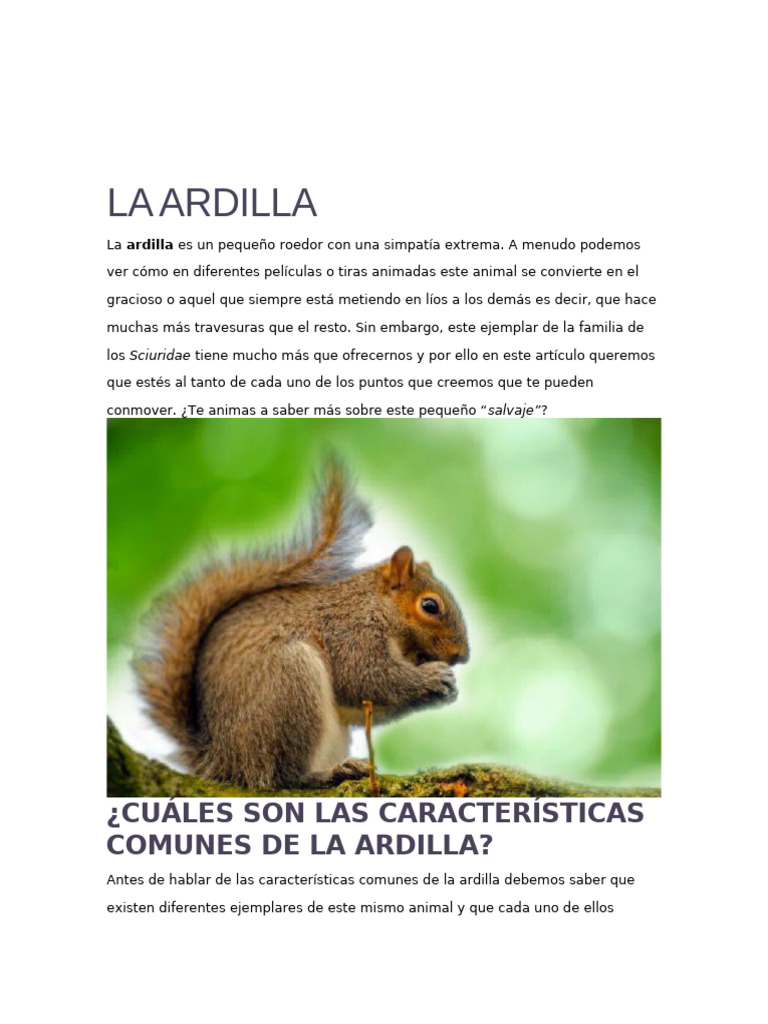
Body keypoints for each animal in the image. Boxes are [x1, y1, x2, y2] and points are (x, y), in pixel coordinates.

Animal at [135, 462, 469, 790]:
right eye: (430, 606)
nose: (461, 656)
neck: (375, 606)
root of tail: (221, 760)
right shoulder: (350, 632)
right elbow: (366, 678)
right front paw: (434, 678)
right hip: (290, 686)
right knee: (282, 775)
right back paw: (327, 773)